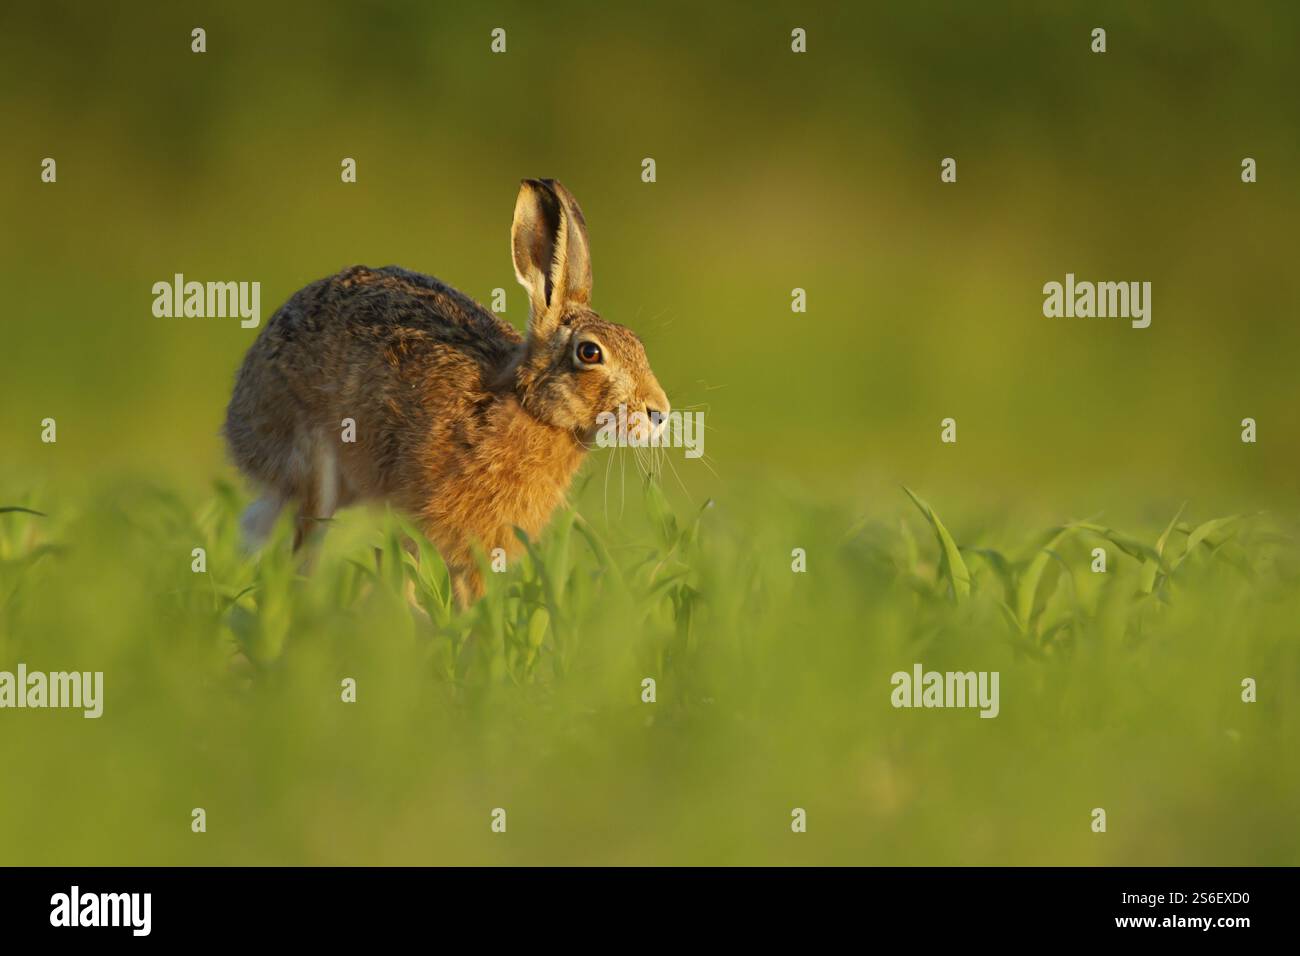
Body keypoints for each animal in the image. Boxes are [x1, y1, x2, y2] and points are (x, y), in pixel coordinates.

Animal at [223, 179, 670, 607]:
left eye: (637, 346)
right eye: (589, 352)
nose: (659, 413)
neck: (527, 405)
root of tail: (237, 413)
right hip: (311, 465)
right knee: (307, 551)